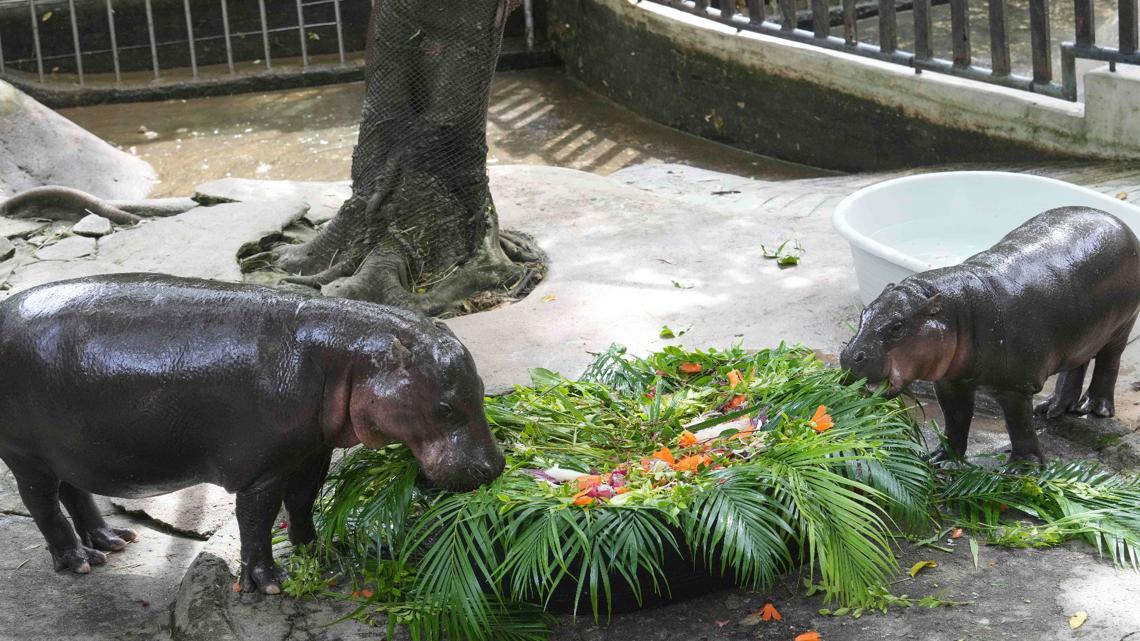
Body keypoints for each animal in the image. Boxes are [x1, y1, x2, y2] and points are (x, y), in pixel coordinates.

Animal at [0, 274, 504, 593]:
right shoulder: (262, 470)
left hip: (69, 448)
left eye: (481, 388)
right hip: (25, 454)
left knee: (75, 491)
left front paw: (322, 549)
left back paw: (111, 542)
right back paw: (79, 562)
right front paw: (271, 584)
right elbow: (257, 521)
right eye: (444, 408)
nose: (495, 466)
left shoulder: (311, 451)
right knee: (44, 506)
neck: (349, 355)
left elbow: (302, 501)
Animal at [840, 207, 1140, 463]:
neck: (958, 311)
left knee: (1109, 362)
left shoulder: (1016, 387)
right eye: (865, 312)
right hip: (1082, 333)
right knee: (1077, 364)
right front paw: (941, 459)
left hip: (1121, 325)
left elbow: (1019, 427)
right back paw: (1053, 409)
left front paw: (1023, 468)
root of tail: (1116, 219)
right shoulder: (950, 382)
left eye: (897, 326)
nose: (849, 356)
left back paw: (1095, 408)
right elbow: (956, 420)